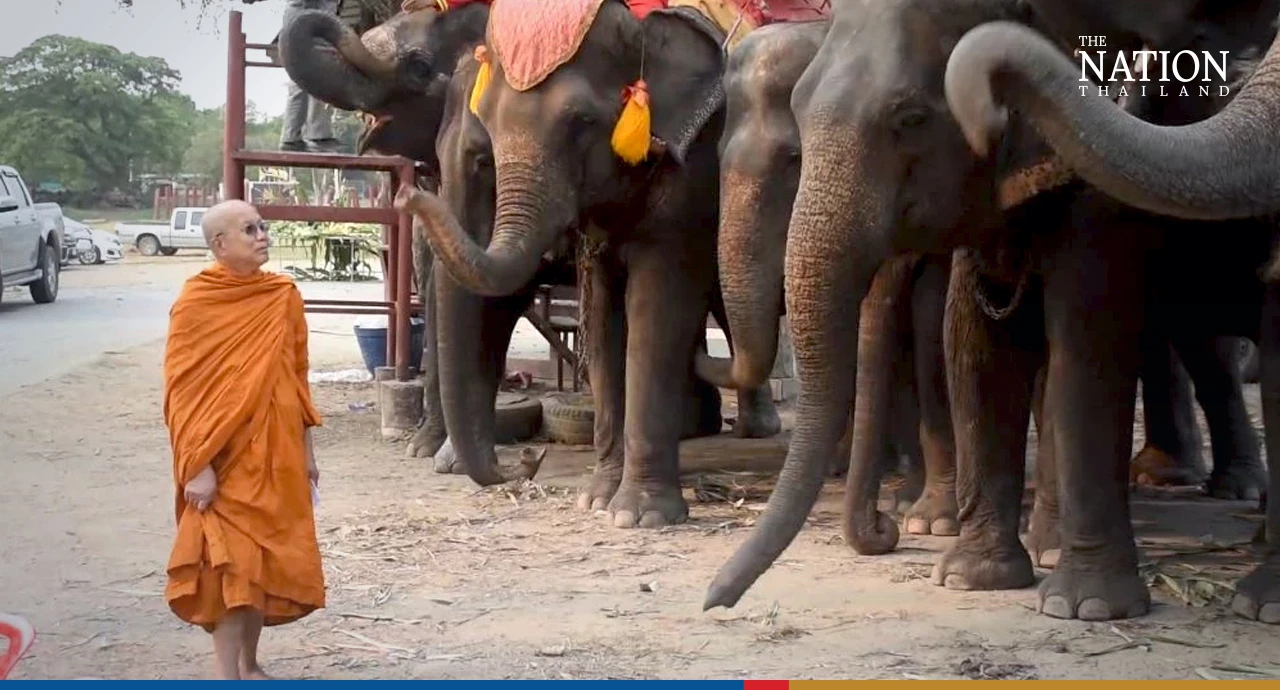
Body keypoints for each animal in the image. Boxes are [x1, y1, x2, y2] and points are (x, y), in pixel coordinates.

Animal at [398, 0, 784, 526]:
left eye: (580, 122)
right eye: (488, 141)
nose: (527, 460)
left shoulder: (695, 171)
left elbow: (658, 304)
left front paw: (639, 517)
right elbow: (599, 316)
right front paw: (598, 499)